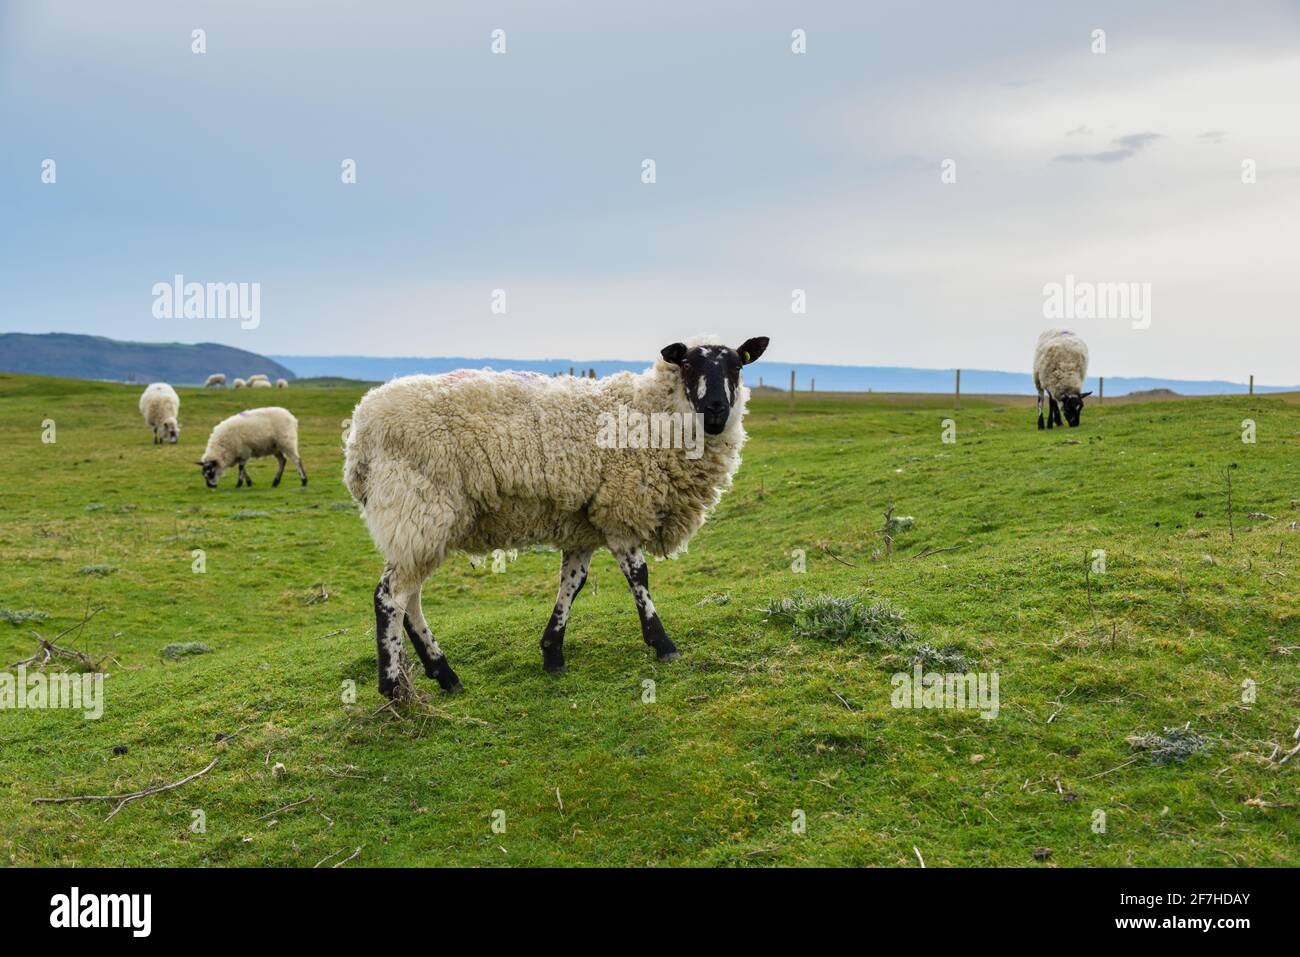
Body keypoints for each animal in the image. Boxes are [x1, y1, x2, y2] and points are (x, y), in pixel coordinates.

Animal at [343, 333, 770, 699]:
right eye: (688, 365)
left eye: (736, 366)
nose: (716, 410)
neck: (650, 414)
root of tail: (359, 434)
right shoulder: (621, 511)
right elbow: (639, 577)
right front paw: (663, 644)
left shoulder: (584, 526)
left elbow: (572, 584)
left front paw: (552, 652)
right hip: (416, 509)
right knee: (389, 597)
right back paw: (393, 687)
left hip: (418, 524)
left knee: (409, 599)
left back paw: (444, 674)